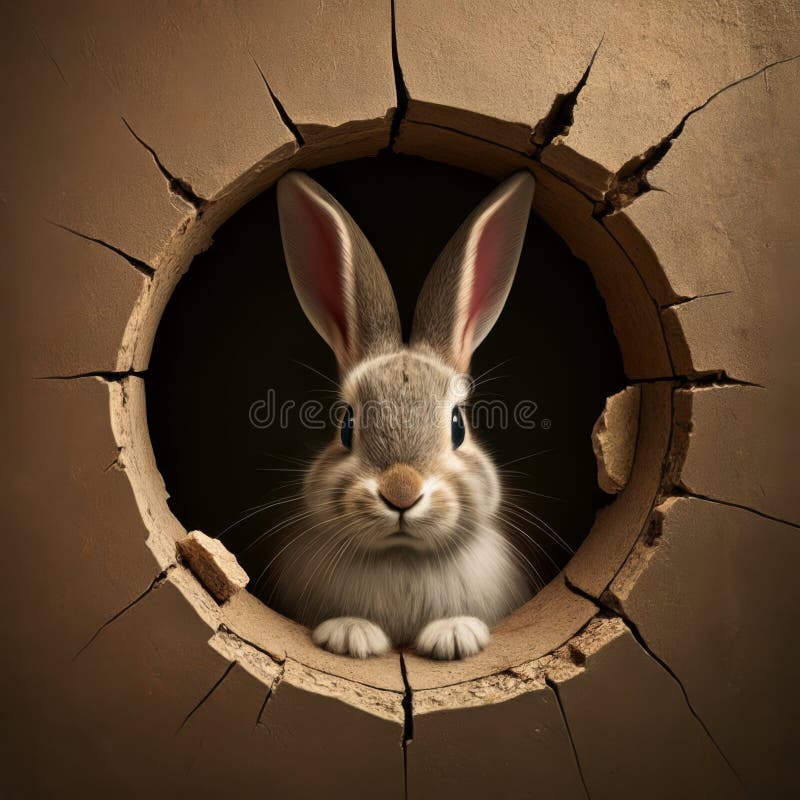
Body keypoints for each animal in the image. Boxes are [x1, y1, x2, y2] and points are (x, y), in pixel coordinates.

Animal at [270, 169, 535, 660]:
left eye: (458, 426)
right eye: (346, 425)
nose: (401, 492)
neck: (402, 555)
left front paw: (453, 635)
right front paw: (351, 634)